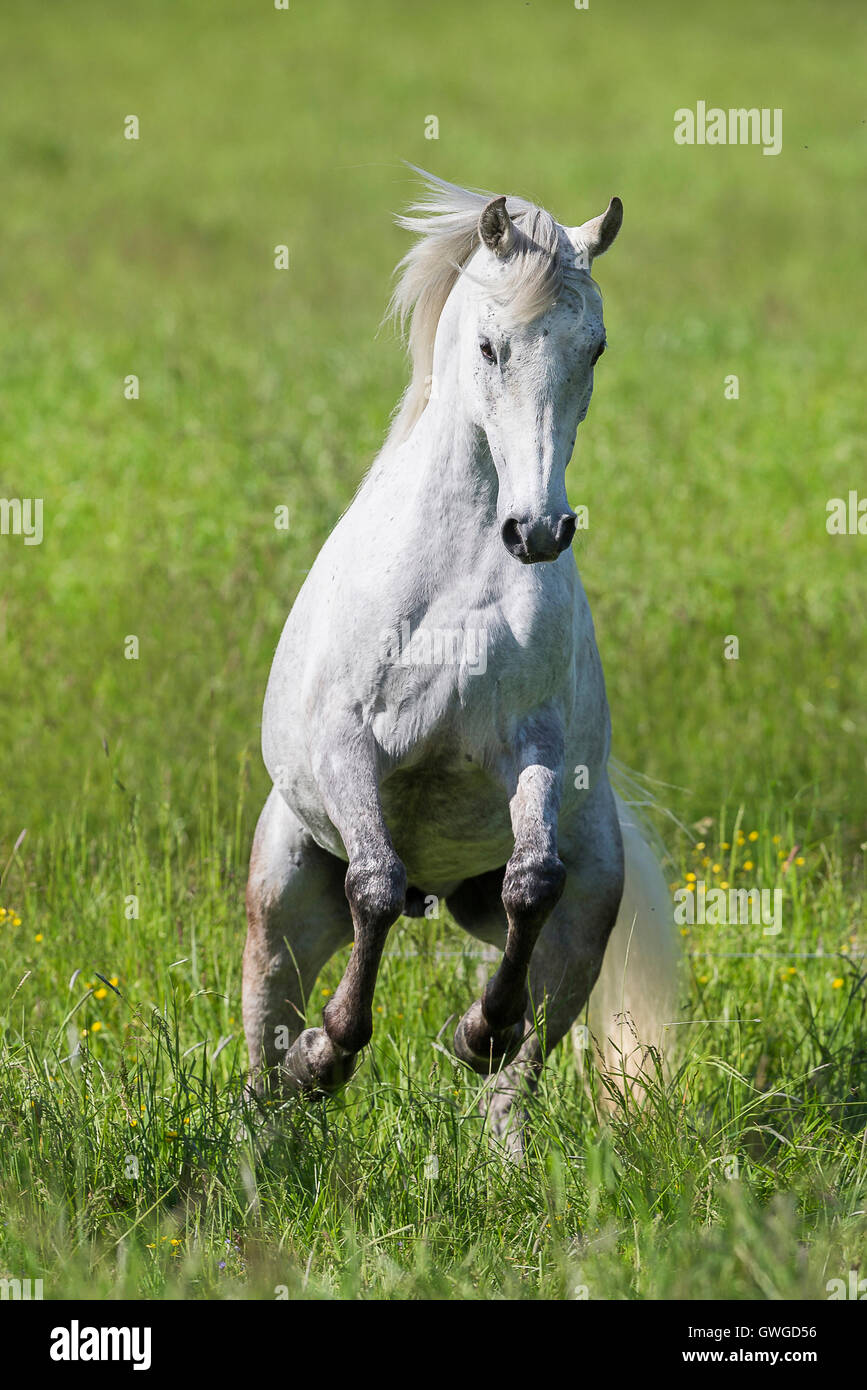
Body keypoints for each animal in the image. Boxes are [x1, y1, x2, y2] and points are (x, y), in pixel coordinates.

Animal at [243, 169, 678, 1151]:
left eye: (594, 349)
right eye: (489, 346)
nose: (538, 531)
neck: (456, 579)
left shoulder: (532, 751)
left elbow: (532, 880)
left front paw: (477, 1029)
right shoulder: (348, 748)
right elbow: (372, 885)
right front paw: (328, 1056)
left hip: (583, 922)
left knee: (522, 1059)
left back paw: (502, 1142)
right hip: (283, 897)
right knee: (264, 1037)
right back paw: (273, 1131)